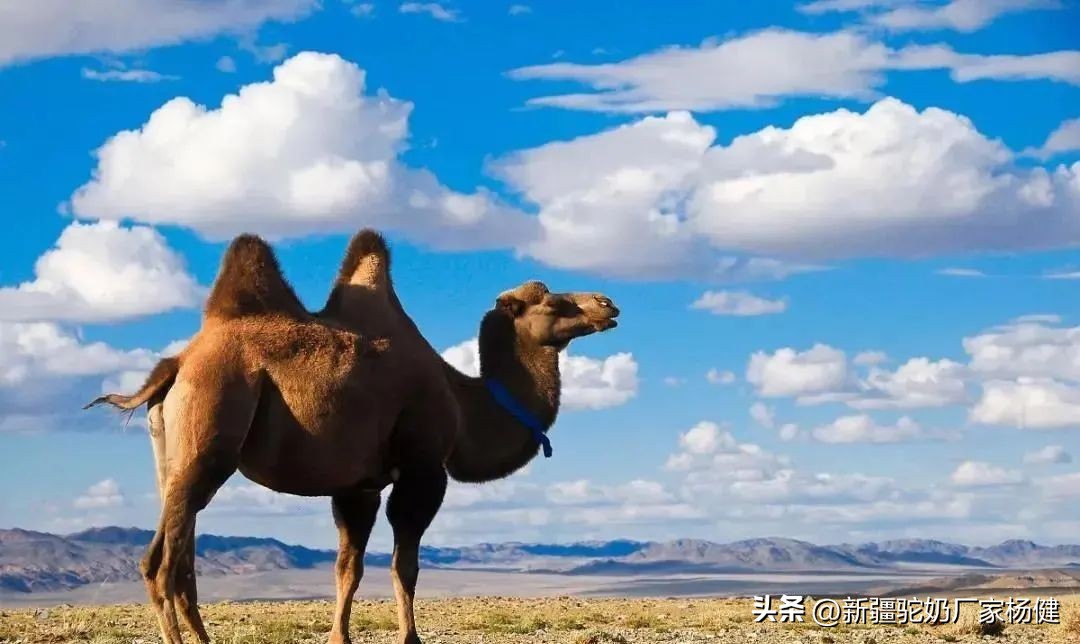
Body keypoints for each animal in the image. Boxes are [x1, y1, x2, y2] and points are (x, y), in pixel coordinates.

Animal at [86, 229, 620, 644]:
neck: (462, 399)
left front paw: (339, 636)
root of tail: (177, 364)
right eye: (553, 301)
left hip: (175, 457)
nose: (607, 303)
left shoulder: (358, 486)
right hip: (210, 434)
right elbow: (405, 565)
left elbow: (349, 568)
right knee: (161, 563)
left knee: (182, 560)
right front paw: (410, 637)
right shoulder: (423, 468)